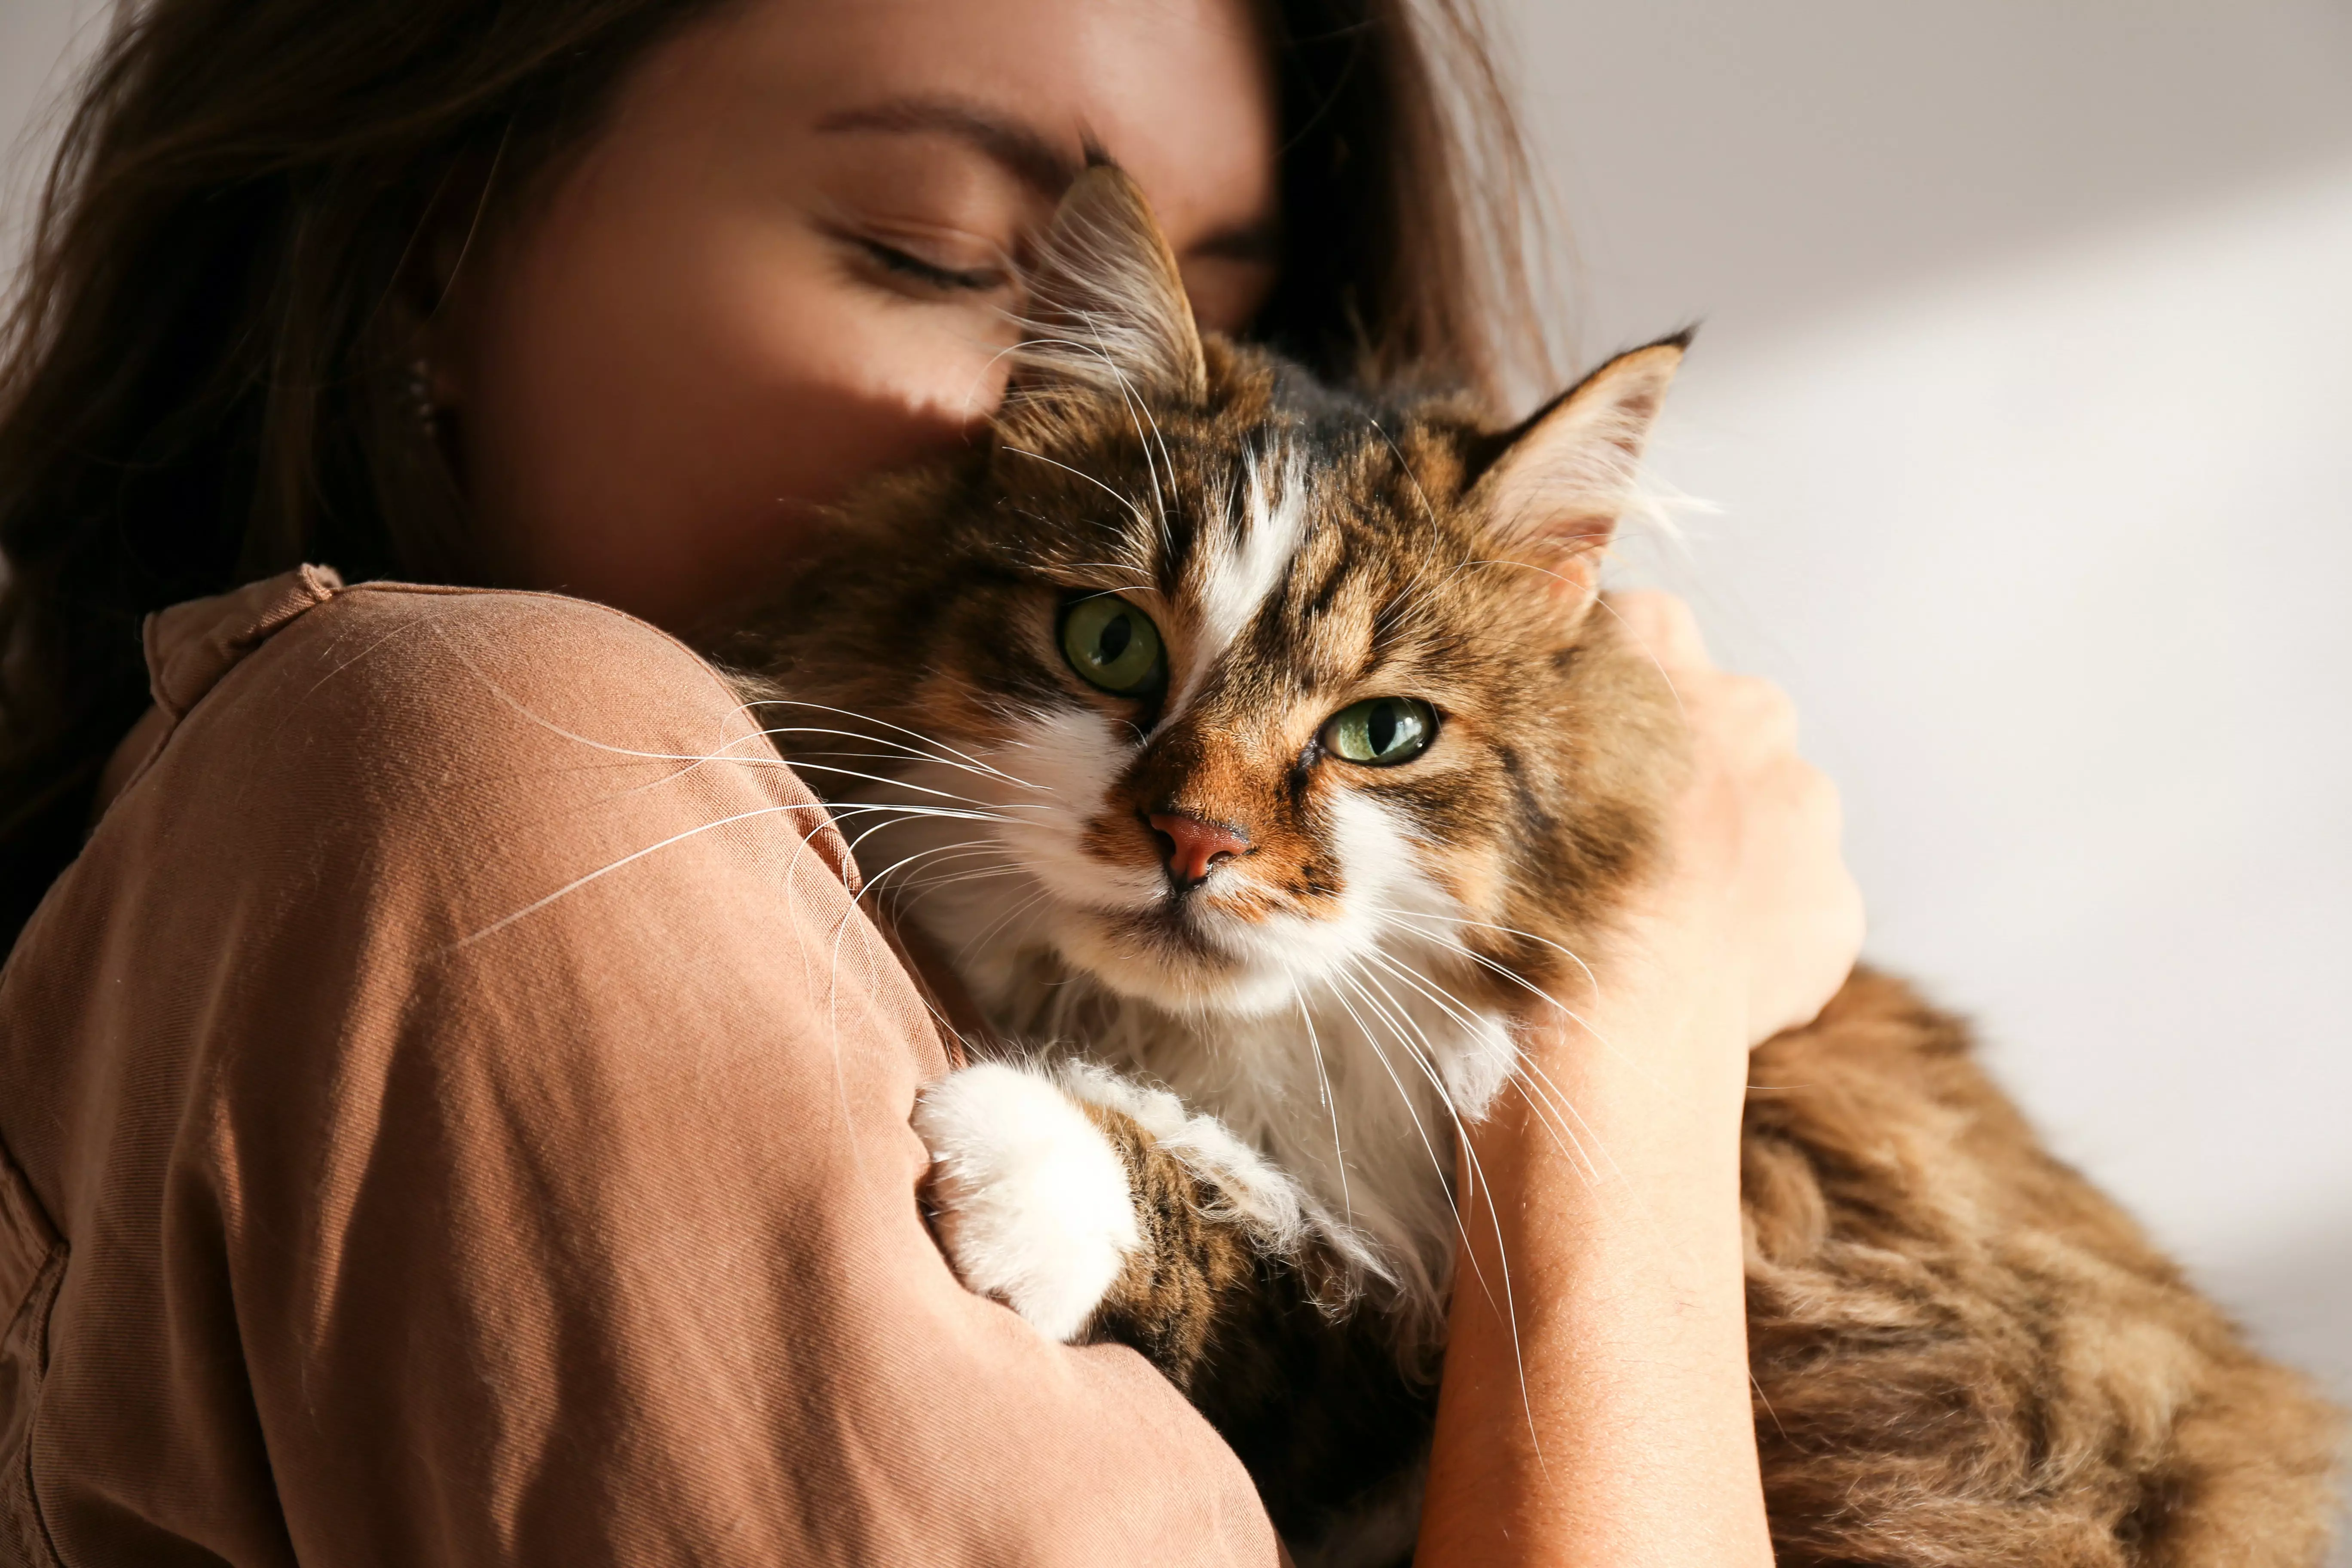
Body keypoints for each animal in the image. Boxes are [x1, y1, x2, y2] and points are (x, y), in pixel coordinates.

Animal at [724, 165, 2343, 1561]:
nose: (1197, 839)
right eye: (1109, 643)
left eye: (1384, 732)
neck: (1220, 1055)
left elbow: (1255, 1254)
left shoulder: (1413, 1349)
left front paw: (1027, 1152)